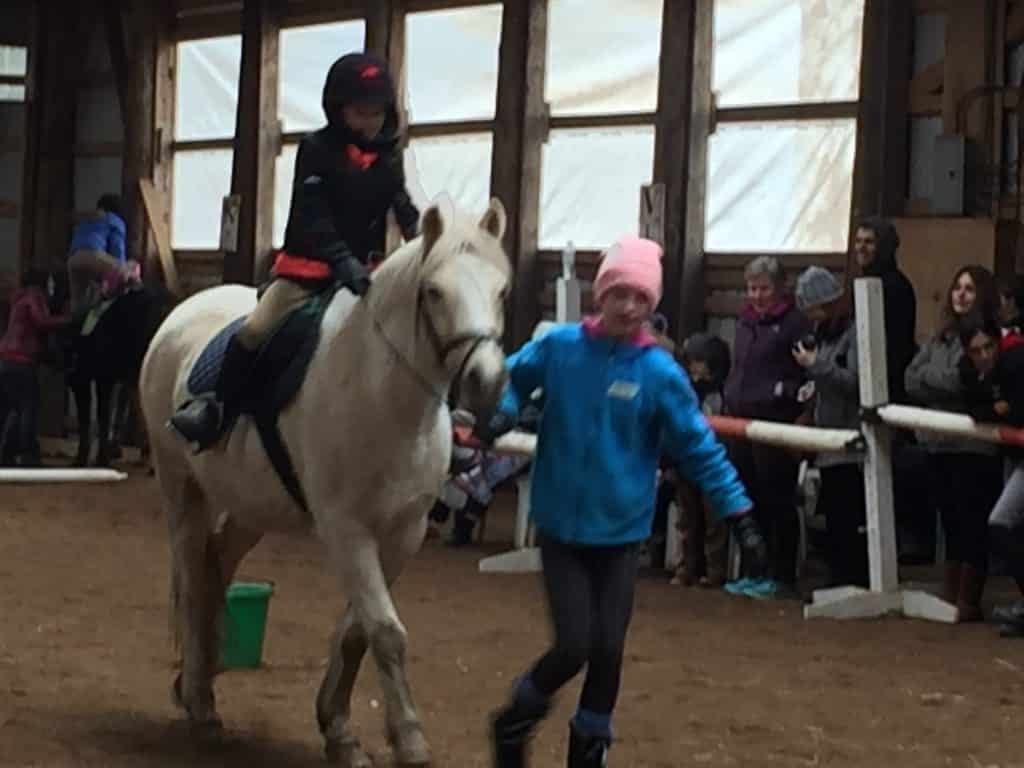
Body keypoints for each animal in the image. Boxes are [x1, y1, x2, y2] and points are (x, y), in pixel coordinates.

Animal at [139, 197, 511, 766]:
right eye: (434, 291)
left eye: (501, 291)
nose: (486, 382)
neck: (386, 397)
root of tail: (179, 317)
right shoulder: (346, 530)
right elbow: (386, 631)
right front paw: (409, 739)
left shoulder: (402, 534)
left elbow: (358, 631)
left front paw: (338, 729)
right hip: (182, 491)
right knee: (192, 574)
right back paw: (200, 701)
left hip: (252, 506)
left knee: (217, 564)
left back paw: (202, 677)